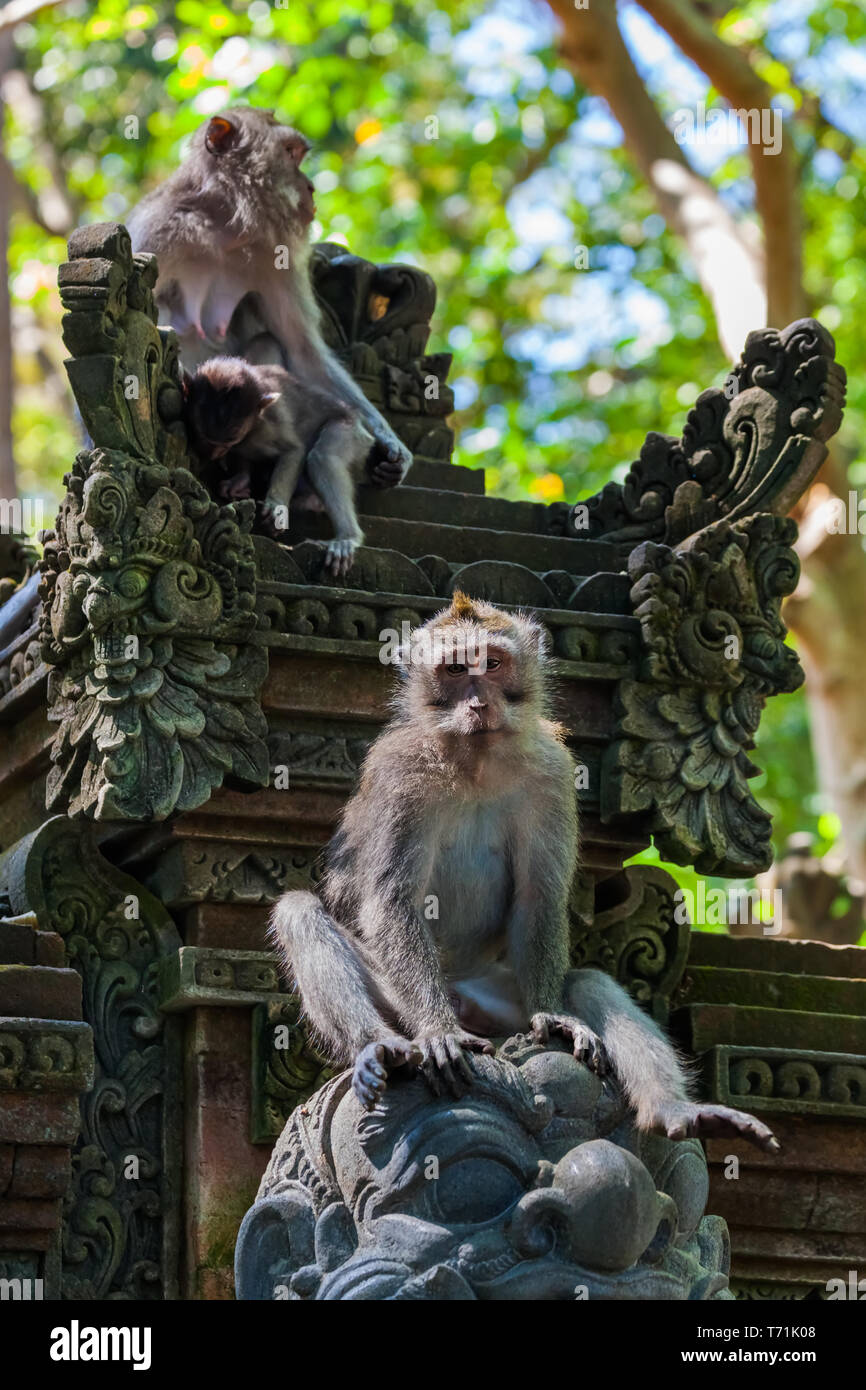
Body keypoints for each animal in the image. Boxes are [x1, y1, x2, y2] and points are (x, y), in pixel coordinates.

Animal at [126, 106, 412, 487]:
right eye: (290, 153)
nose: (311, 187)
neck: (224, 223)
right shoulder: (154, 232)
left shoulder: (278, 253)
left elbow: (302, 347)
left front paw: (388, 439)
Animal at [183, 355, 382, 576]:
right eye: (204, 436)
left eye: (228, 440)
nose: (213, 454)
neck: (253, 426)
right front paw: (240, 480)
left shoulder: (270, 423)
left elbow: (293, 450)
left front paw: (276, 506)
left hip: (352, 432)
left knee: (323, 457)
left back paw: (347, 537)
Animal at [269, 592, 780, 1153]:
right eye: (455, 670)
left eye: (492, 664)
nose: (478, 704)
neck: (474, 759)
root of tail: (462, 994)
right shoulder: (400, 772)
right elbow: (392, 900)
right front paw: (436, 1032)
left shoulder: (552, 771)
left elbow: (539, 895)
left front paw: (556, 1016)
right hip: (398, 998)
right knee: (300, 911)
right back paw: (378, 1047)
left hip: (503, 1007)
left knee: (586, 982)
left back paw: (675, 1110)